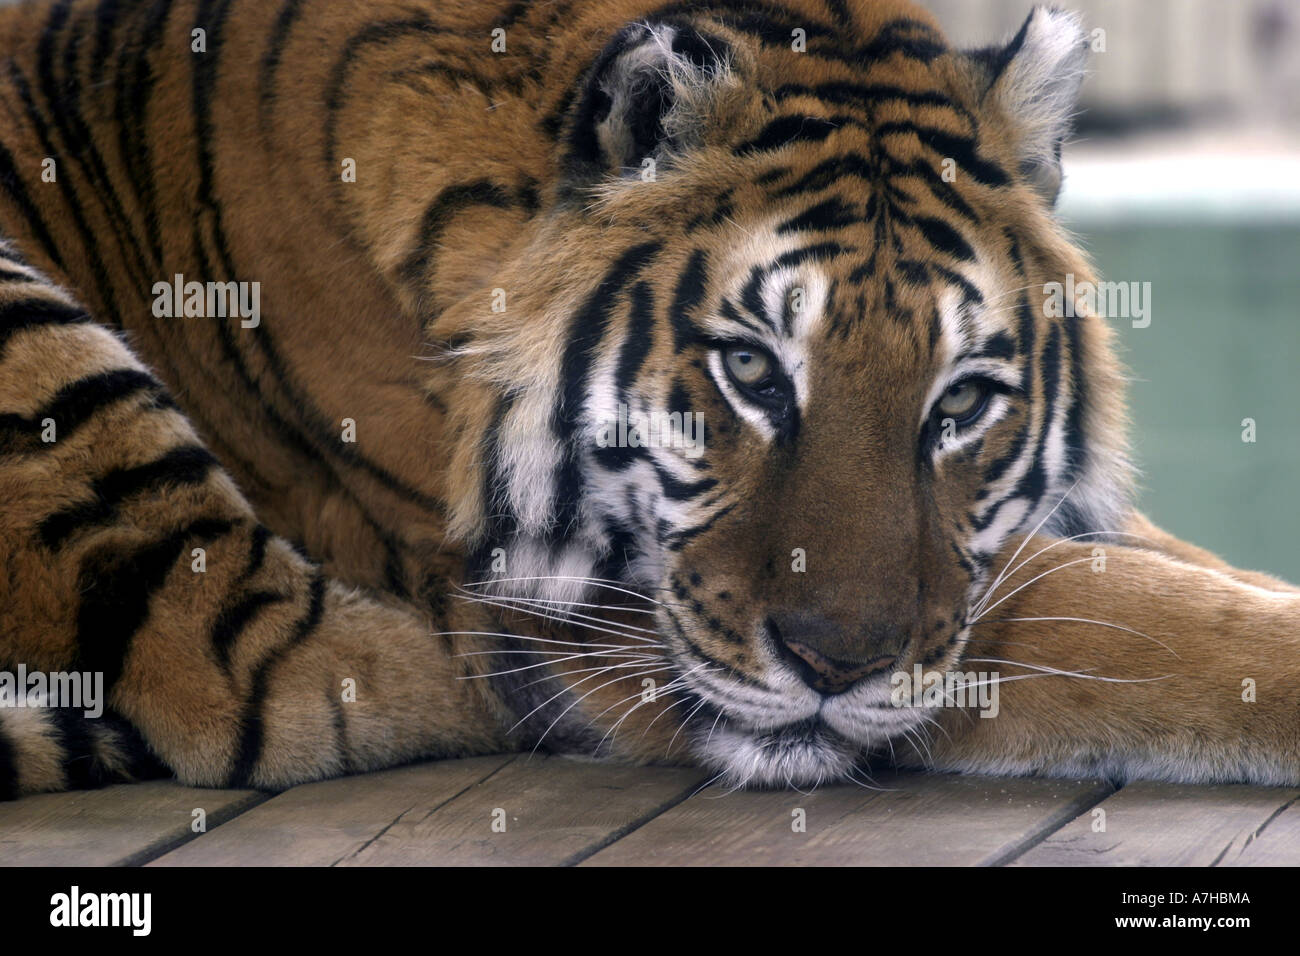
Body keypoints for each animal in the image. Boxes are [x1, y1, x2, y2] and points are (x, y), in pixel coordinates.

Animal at [0, 0, 1297, 803]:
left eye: (961, 401)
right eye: (753, 371)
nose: (836, 667)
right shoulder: (578, 602)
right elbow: (1125, 616)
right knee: (276, 674)